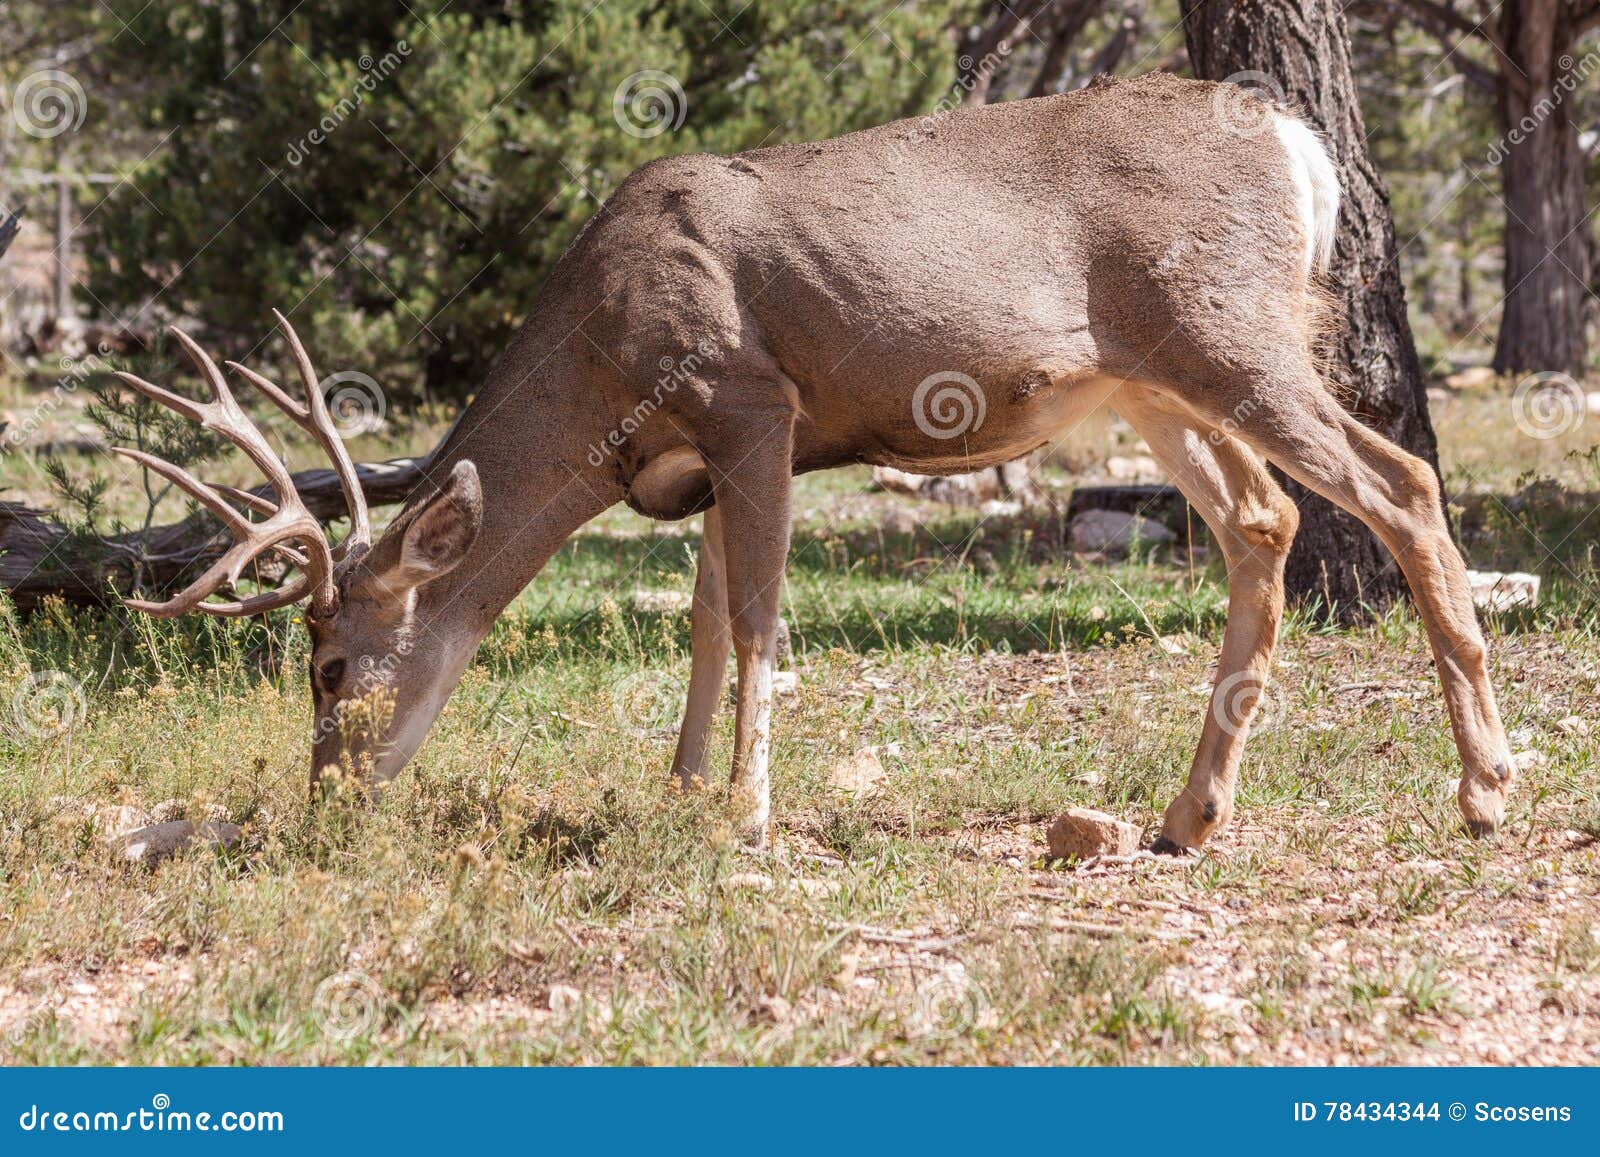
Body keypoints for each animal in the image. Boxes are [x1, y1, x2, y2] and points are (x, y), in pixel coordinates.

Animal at [115, 73, 1515, 853]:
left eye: (328, 665)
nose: (328, 798)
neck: (599, 369)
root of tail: (1299, 142)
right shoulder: (692, 459)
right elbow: (699, 618)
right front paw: (680, 791)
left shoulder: (748, 398)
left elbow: (757, 614)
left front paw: (743, 814)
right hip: (1151, 378)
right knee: (1263, 523)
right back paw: (1186, 818)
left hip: (1229, 333)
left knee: (1402, 485)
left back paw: (1487, 788)